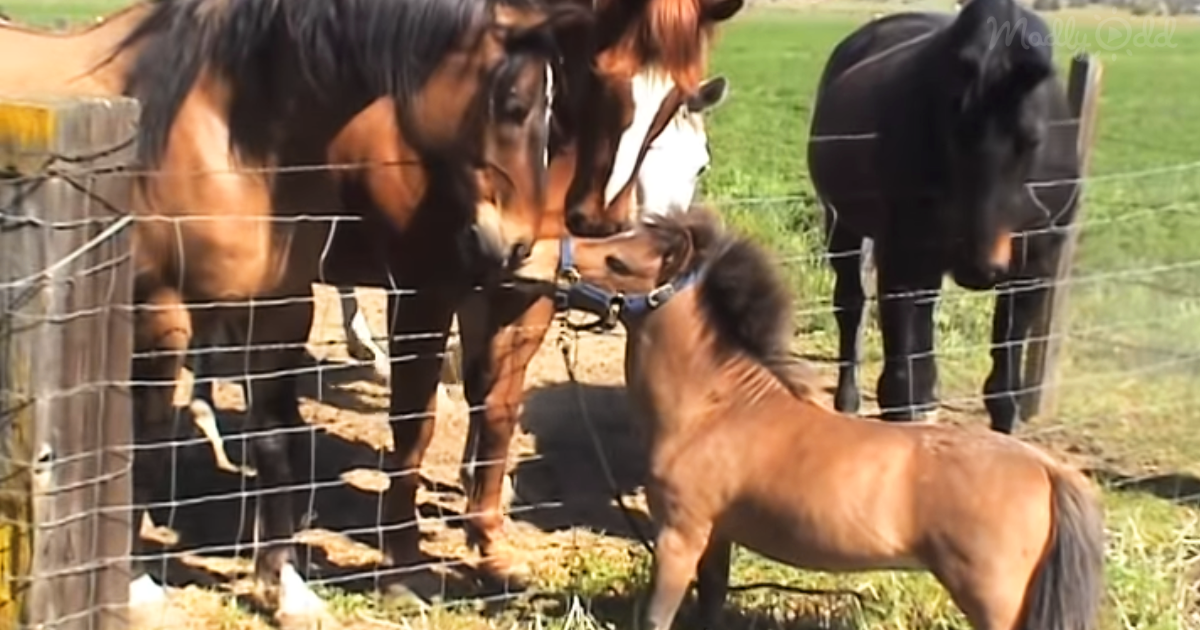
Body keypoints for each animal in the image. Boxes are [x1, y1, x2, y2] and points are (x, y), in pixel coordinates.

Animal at [512, 207, 1105, 630]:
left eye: (619, 262)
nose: (528, 255)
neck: (714, 411)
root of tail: (1048, 470)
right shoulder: (718, 537)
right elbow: (711, 603)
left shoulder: (681, 533)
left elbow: (659, 615)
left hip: (996, 601)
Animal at [806, 0, 1082, 432]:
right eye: (952, 129)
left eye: (1032, 137)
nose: (979, 265)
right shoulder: (900, 253)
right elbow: (898, 382)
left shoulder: (1037, 261)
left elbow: (1007, 354)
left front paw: (1006, 420)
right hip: (843, 225)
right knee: (851, 306)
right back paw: (850, 398)